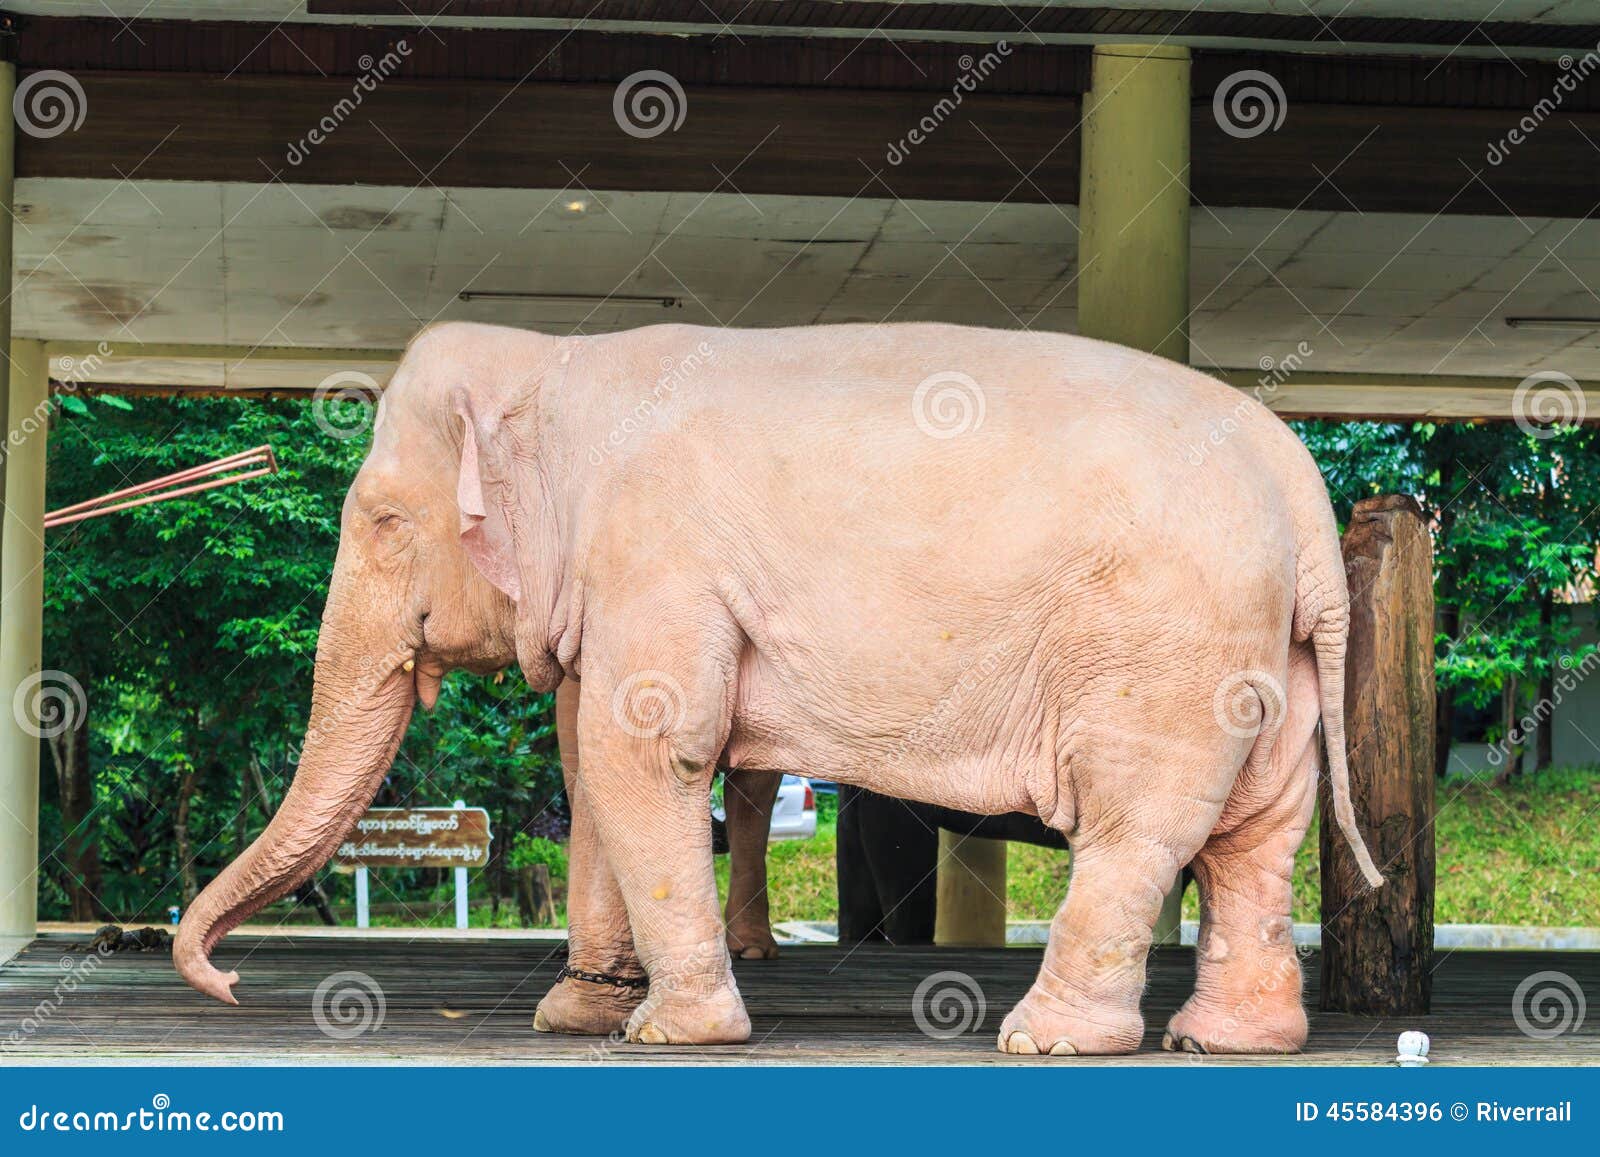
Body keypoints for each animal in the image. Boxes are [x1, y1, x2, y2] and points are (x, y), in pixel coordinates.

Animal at [174, 319, 1381, 1057]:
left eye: (383, 520)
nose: (226, 985)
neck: (558, 364)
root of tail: (1300, 480)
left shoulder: (658, 555)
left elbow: (643, 750)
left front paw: (666, 1034)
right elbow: (589, 763)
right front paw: (580, 1015)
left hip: (1162, 648)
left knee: (1136, 824)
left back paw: (1047, 1038)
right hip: (1260, 654)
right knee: (1256, 831)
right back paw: (1229, 1039)